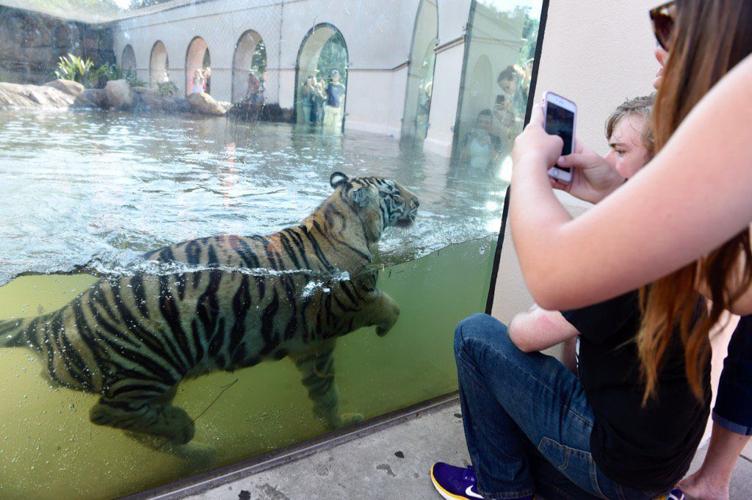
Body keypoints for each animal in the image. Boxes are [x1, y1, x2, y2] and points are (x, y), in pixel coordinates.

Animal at [0, 172, 419, 446]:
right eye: (394, 192)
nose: (417, 201)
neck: (337, 222)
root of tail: (53, 320)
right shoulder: (348, 301)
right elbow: (388, 305)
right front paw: (387, 325)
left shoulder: (312, 348)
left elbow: (324, 394)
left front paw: (339, 422)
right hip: (147, 362)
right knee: (104, 413)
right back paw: (184, 428)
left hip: (152, 379)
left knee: (135, 428)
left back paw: (193, 448)